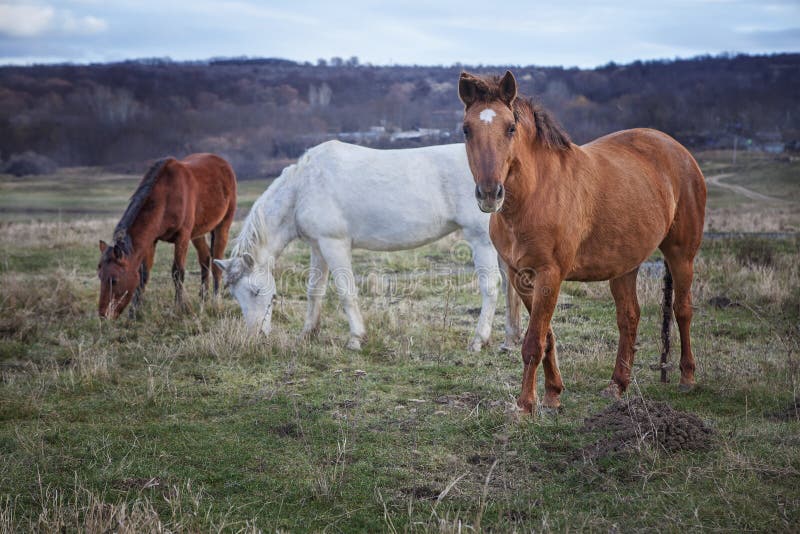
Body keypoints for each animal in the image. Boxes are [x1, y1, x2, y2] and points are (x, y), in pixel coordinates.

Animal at [98, 153, 237, 318]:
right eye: (100, 276)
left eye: (114, 280)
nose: (103, 314)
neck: (166, 196)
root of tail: (223, 162)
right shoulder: (151, 241)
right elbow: (143, 275)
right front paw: (134, 312)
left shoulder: (182, 237)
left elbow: (178, 272)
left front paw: (178, 308)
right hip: (197, 233)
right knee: (205, 258)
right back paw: (203, 300)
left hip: (222, 226)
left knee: (216, 264)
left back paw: (215, 303)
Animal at [213, 140, 522, 352]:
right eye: (235, 295)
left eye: (255, 292)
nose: (254, 337)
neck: (303, 187)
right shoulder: (318, 246)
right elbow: (315, 290)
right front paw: (308, 333)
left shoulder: (334, 244)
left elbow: (346, 291)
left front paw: (356, 338)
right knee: (510, 286)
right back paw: (510, 340)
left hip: (481, 240)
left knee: (491, 287)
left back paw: (479, 340)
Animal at [458, 71, 706, 414]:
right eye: (466, 129)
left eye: (510, 127)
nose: (489, 193)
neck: (537, 193)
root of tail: (678, 150)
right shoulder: (520, 276)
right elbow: (546, 336)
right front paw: (552, 394)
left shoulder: (550, 274)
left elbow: (533, 341)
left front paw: (525, 406)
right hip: (624, 266)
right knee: (629, 318)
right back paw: (617, 386)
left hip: (681, 255)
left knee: (682, 310)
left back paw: (687, 378)